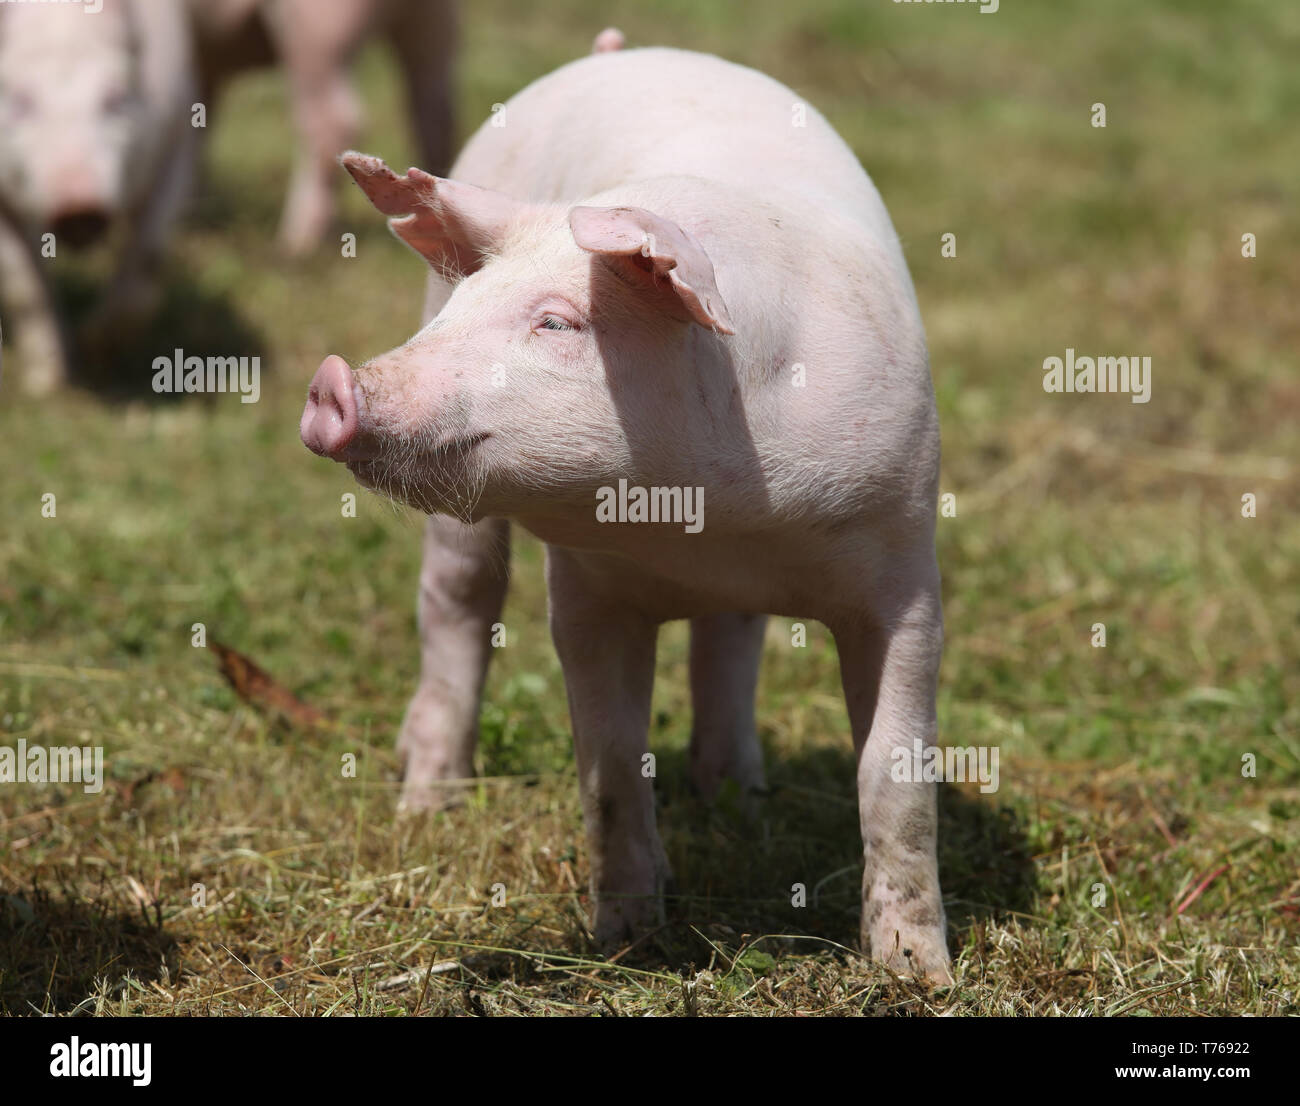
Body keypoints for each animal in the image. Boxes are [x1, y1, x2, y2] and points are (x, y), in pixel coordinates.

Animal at [301, 42, 950, 982]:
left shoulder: (904, 563)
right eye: (463, 305)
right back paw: (427, 806)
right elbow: (607, 769)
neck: (711, 520)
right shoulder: (586, 594)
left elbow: (896, 780)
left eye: (559, 323)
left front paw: (918, 973)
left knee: (729, 638)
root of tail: (618, 52)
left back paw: (738, 798)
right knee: (458, 605)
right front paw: (629, 941)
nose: (331, 383)